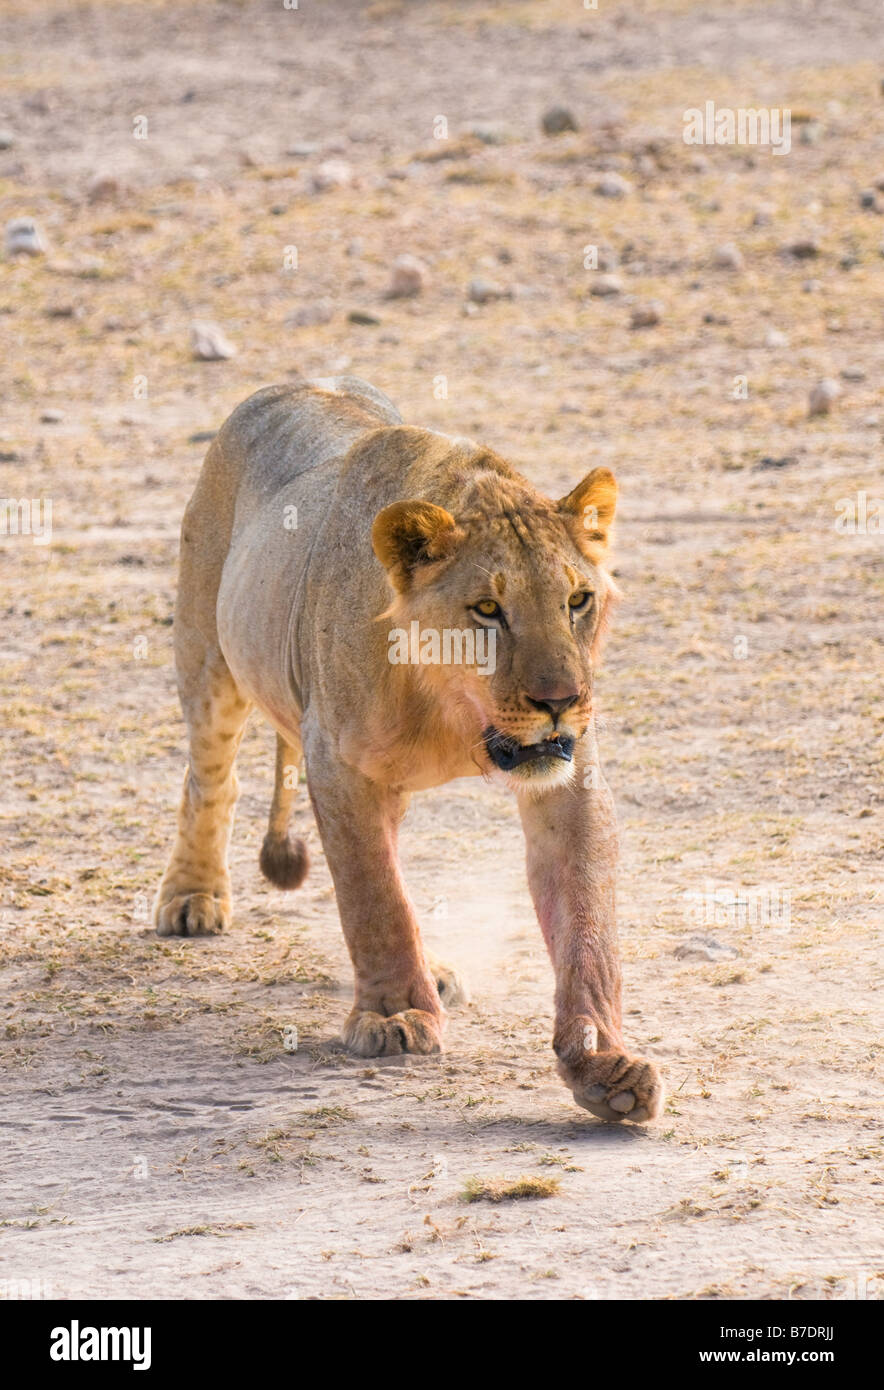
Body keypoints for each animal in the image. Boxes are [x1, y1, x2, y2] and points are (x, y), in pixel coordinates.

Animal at [154, 377, 663, 1123]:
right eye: (488, 609)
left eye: (578, 600)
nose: (561, 699)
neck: (449, 711)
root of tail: (292, 384)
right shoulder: (336, 764)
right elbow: (374, 897)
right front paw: (394, 1015)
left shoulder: (570, 775)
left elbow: (585, 921)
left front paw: (605, 1063)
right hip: (208, 656)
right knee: (211, 780)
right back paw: (191, 897)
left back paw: (438, 972)